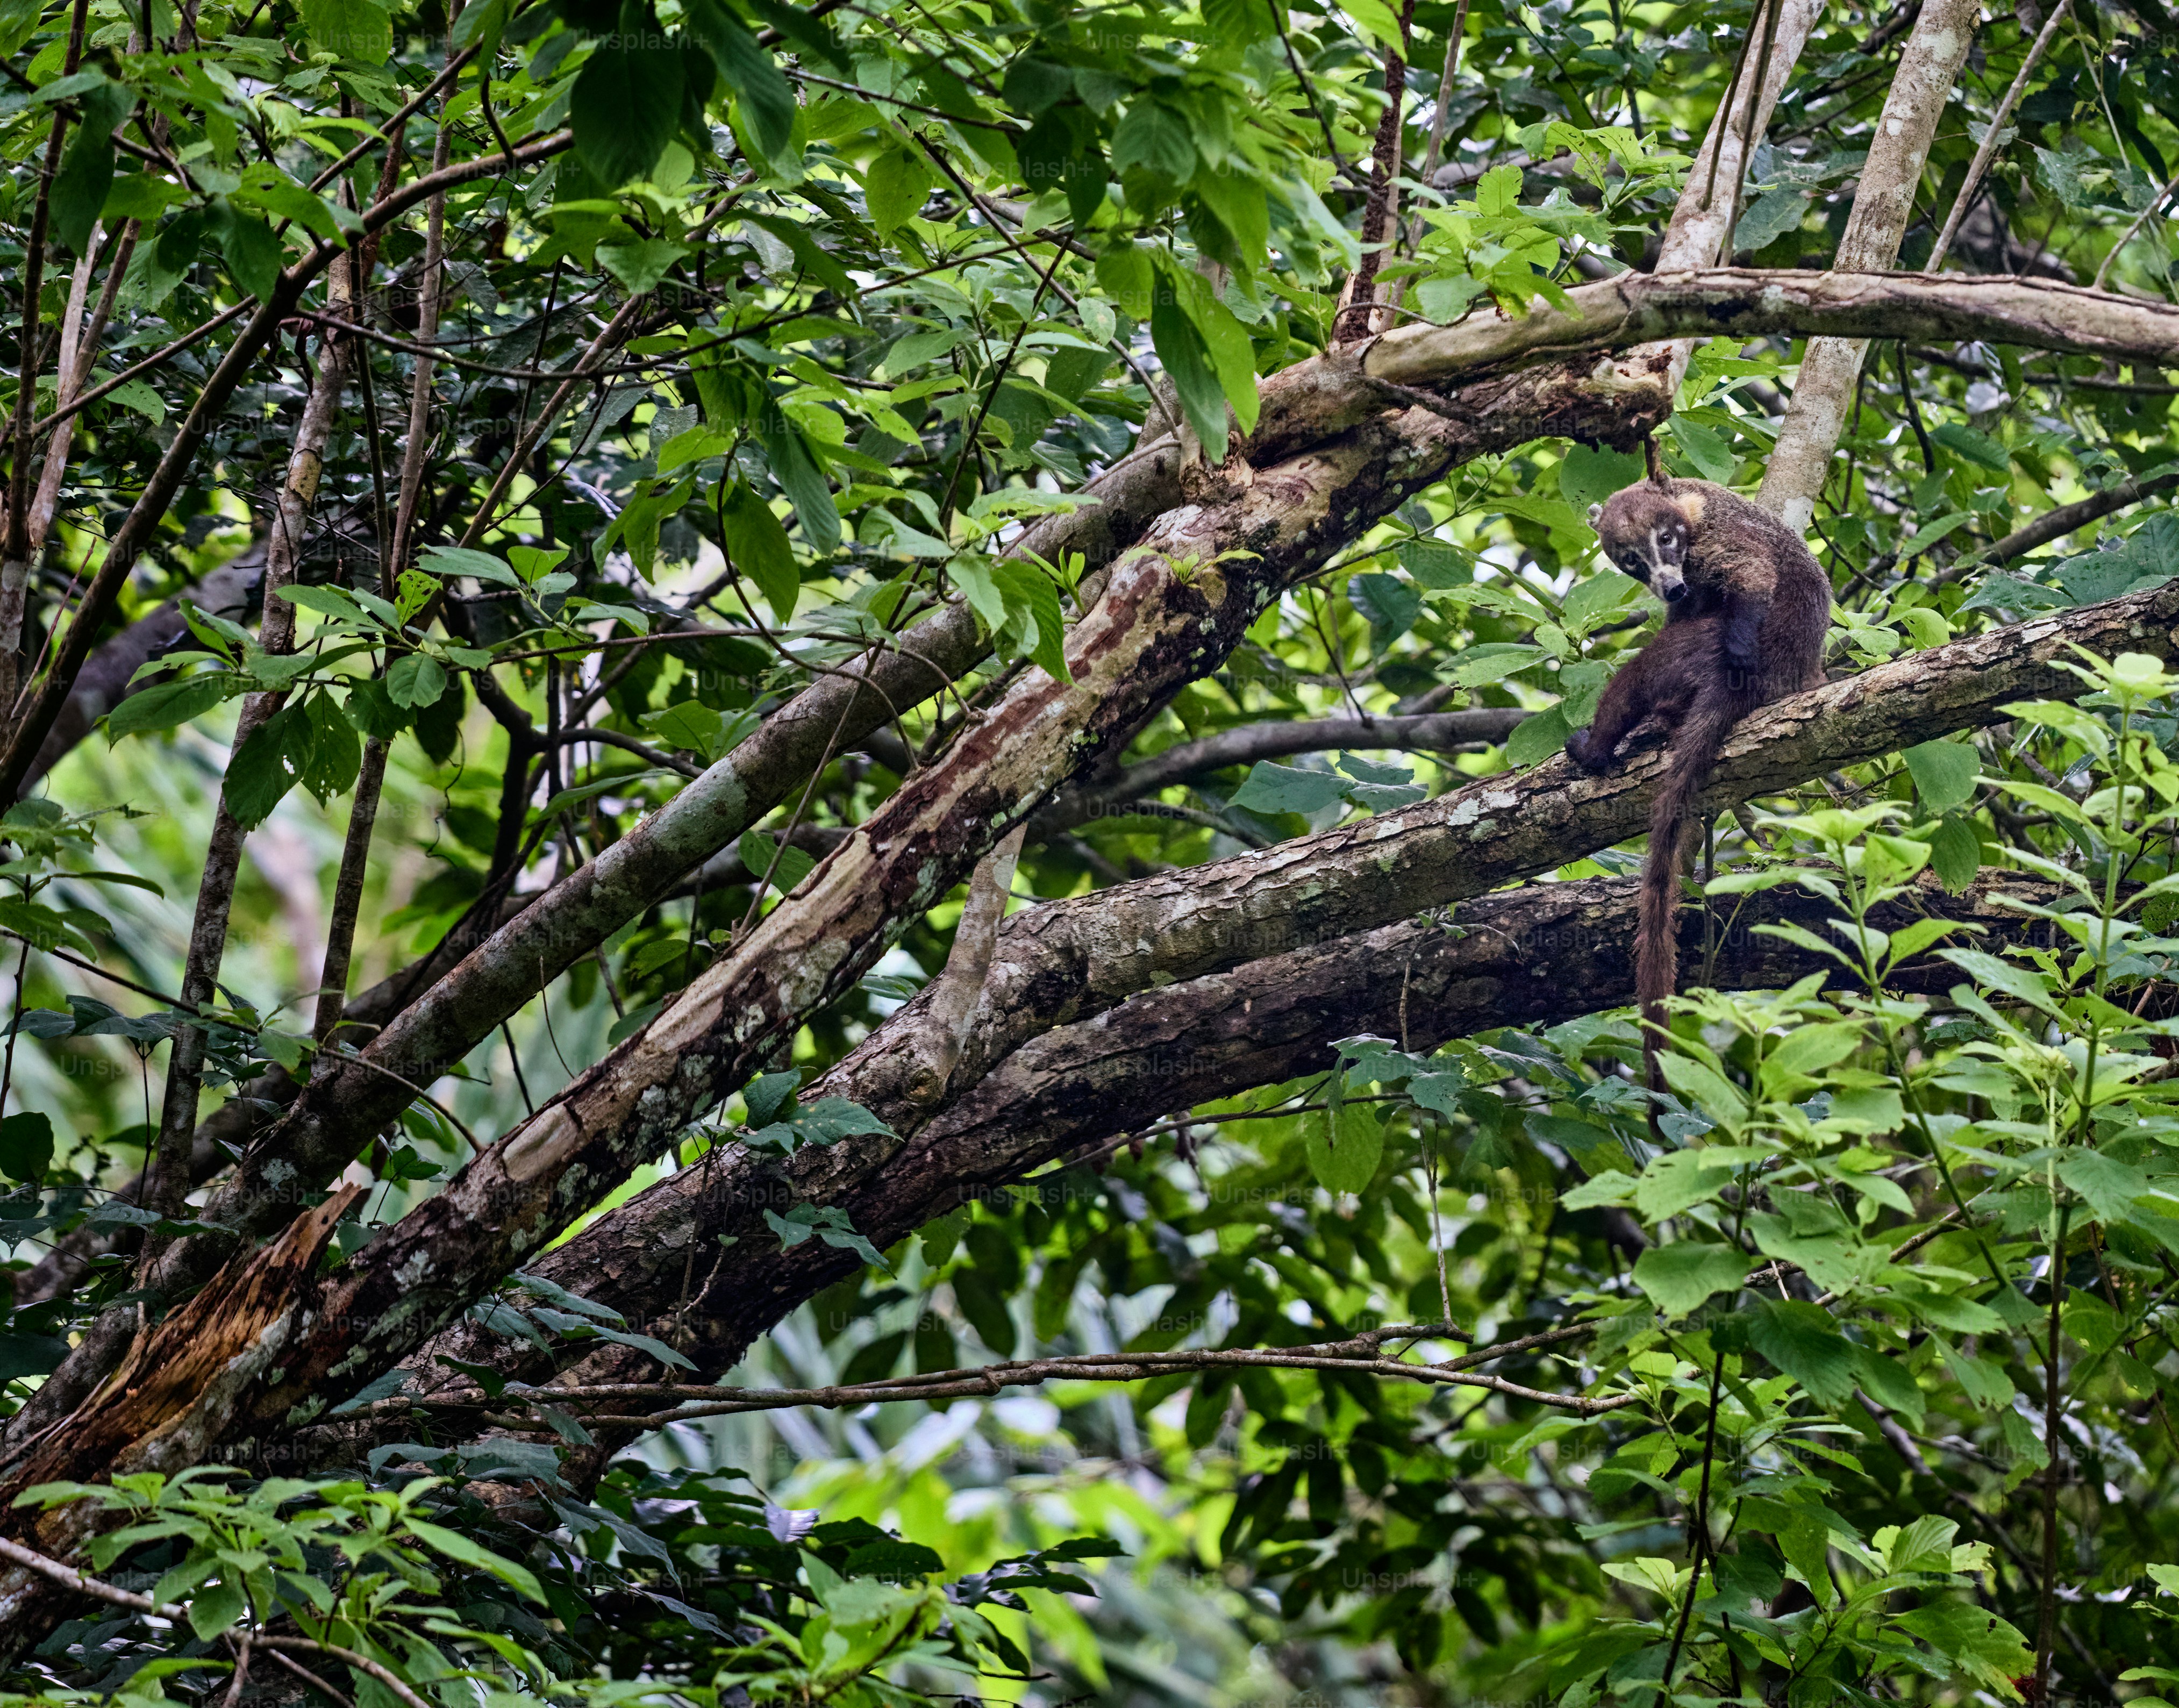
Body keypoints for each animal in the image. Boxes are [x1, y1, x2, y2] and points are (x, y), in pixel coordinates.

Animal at [1563, 471, 1832, 1128]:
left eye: (1666, 541)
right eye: (1629, 561)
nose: (1671, 584)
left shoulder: (1717, 548)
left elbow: (1752, 577)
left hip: (1693, 651)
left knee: (1636, 676)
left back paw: (1600, 744)